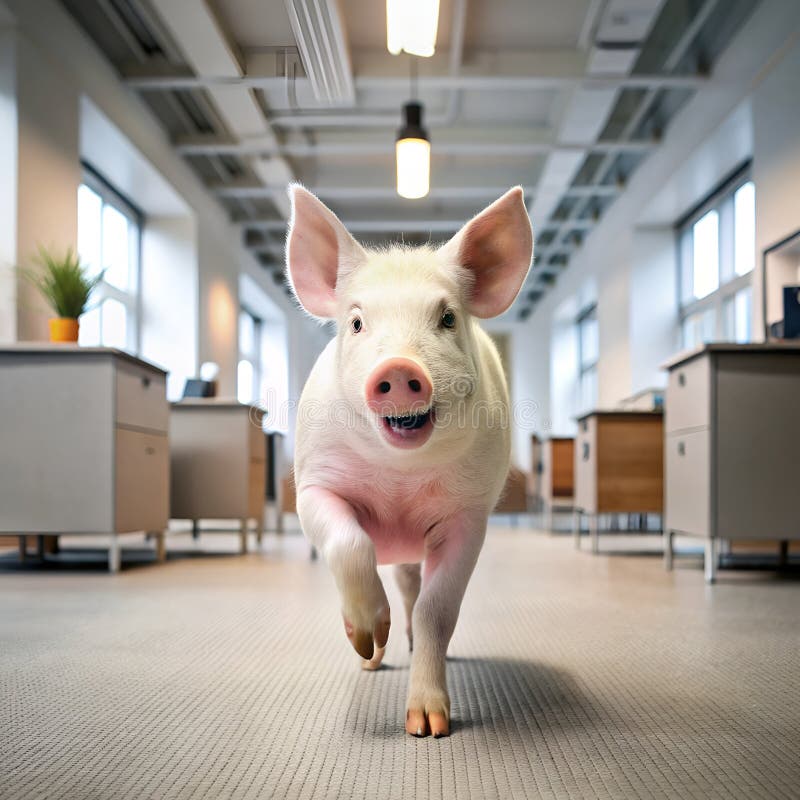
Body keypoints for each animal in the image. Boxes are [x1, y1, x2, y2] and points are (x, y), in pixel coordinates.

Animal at [287, 185, 533, 738]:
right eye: (357, 322)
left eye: (447, 318)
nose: (399, 368)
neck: (400, 481)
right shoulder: (313, 486)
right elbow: (349, 542)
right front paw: (365, 639)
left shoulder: (469, 516)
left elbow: (436, 609)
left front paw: (427, 728)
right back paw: (370, 658)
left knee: (412, 591)